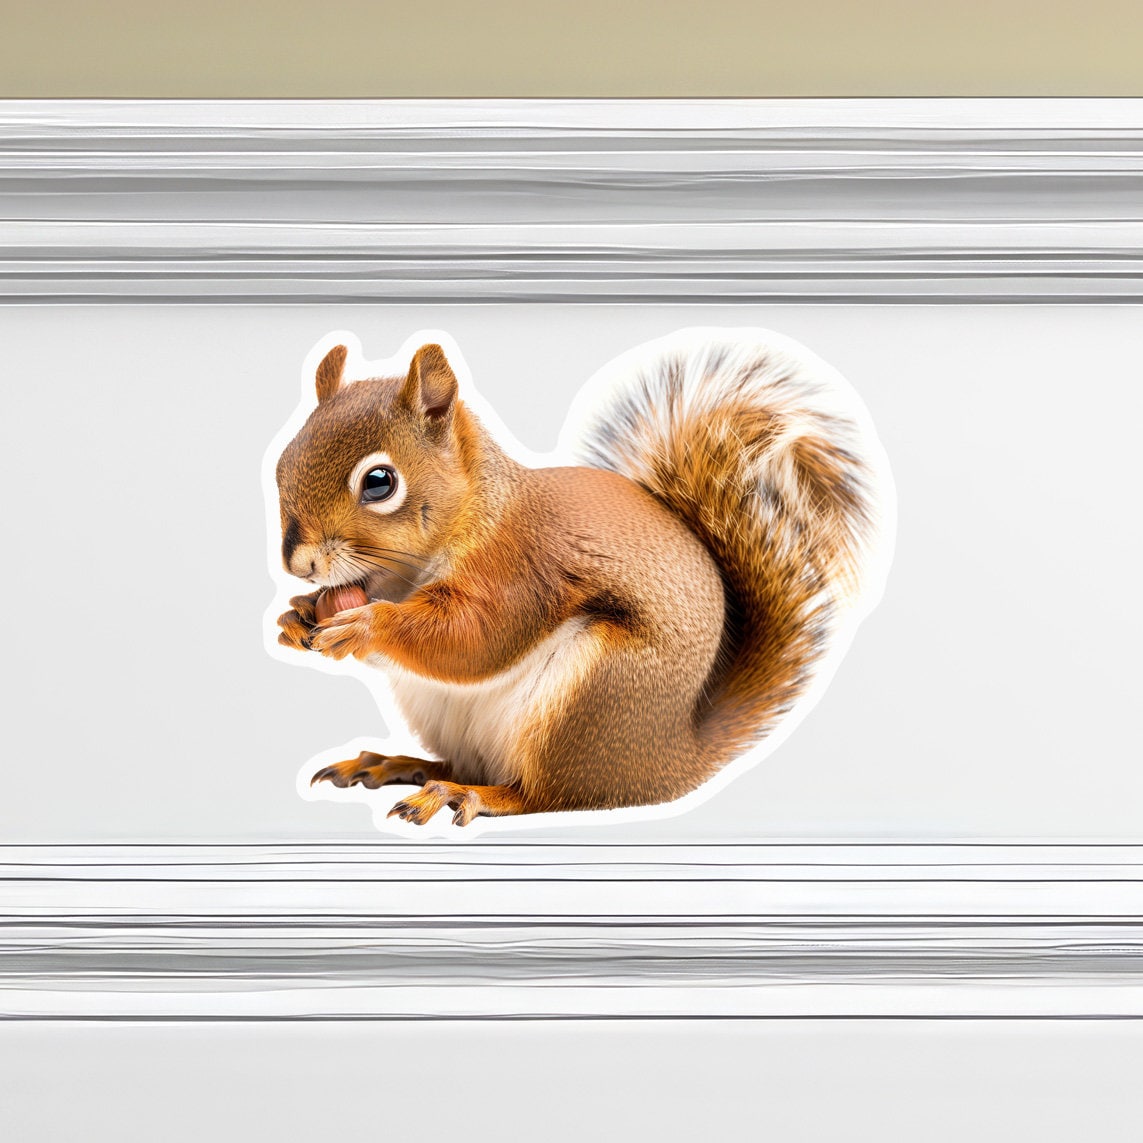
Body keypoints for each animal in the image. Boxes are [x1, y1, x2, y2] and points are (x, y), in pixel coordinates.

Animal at [273, 328, 891, 828]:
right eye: (282, 464)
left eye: (379, 482)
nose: (298, 564)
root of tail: (672, 759)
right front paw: (296, 615)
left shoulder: (523, 567)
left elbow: (475, 638)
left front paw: (365, 626)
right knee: (469, 761)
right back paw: (396, 764)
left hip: (589, 699)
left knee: (544, 794)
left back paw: (465, 794)